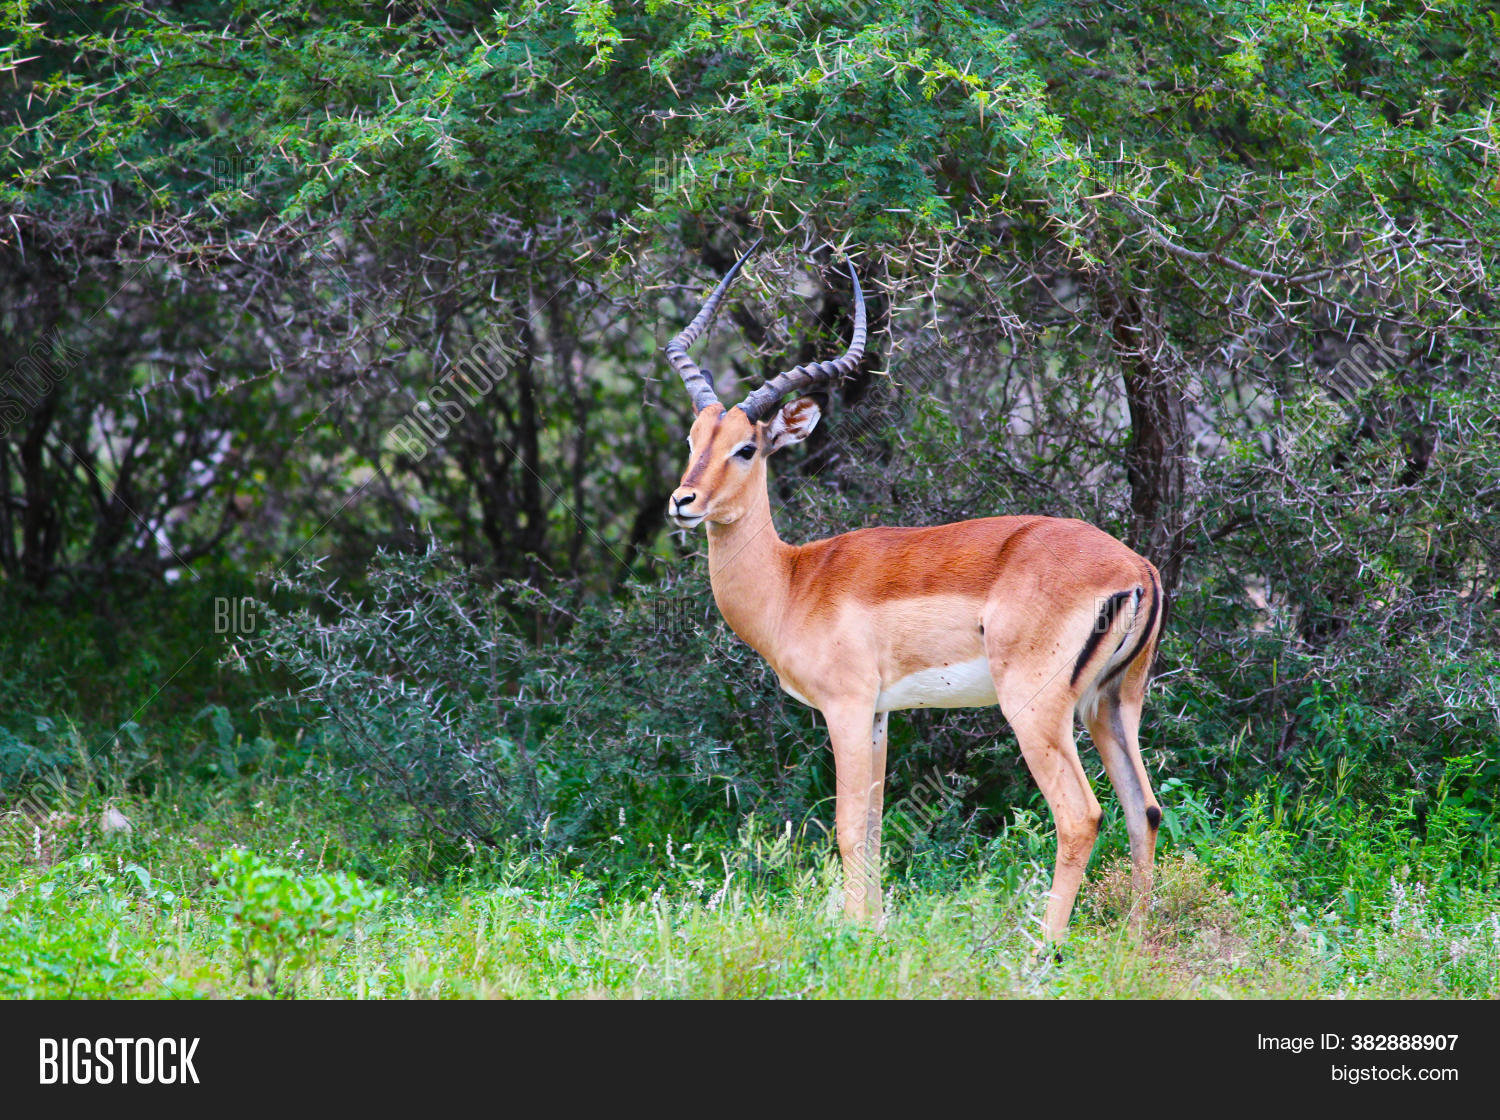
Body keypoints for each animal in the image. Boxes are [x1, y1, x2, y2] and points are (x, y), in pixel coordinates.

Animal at [664, 242, 1165, 942]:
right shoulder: (879, 715)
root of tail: (1136, 568)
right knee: (1143, 808)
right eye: (692, 440)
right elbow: (874, 831)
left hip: (1037, 710)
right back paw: (1136, 939)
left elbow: (849, 829)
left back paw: (1044, 945)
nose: (682, 502)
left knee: (1080, 814)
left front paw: (851, 936)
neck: (795, 580)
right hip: (1113, 703)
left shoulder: (846, 708)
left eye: (745, 448)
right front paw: (874, 926)